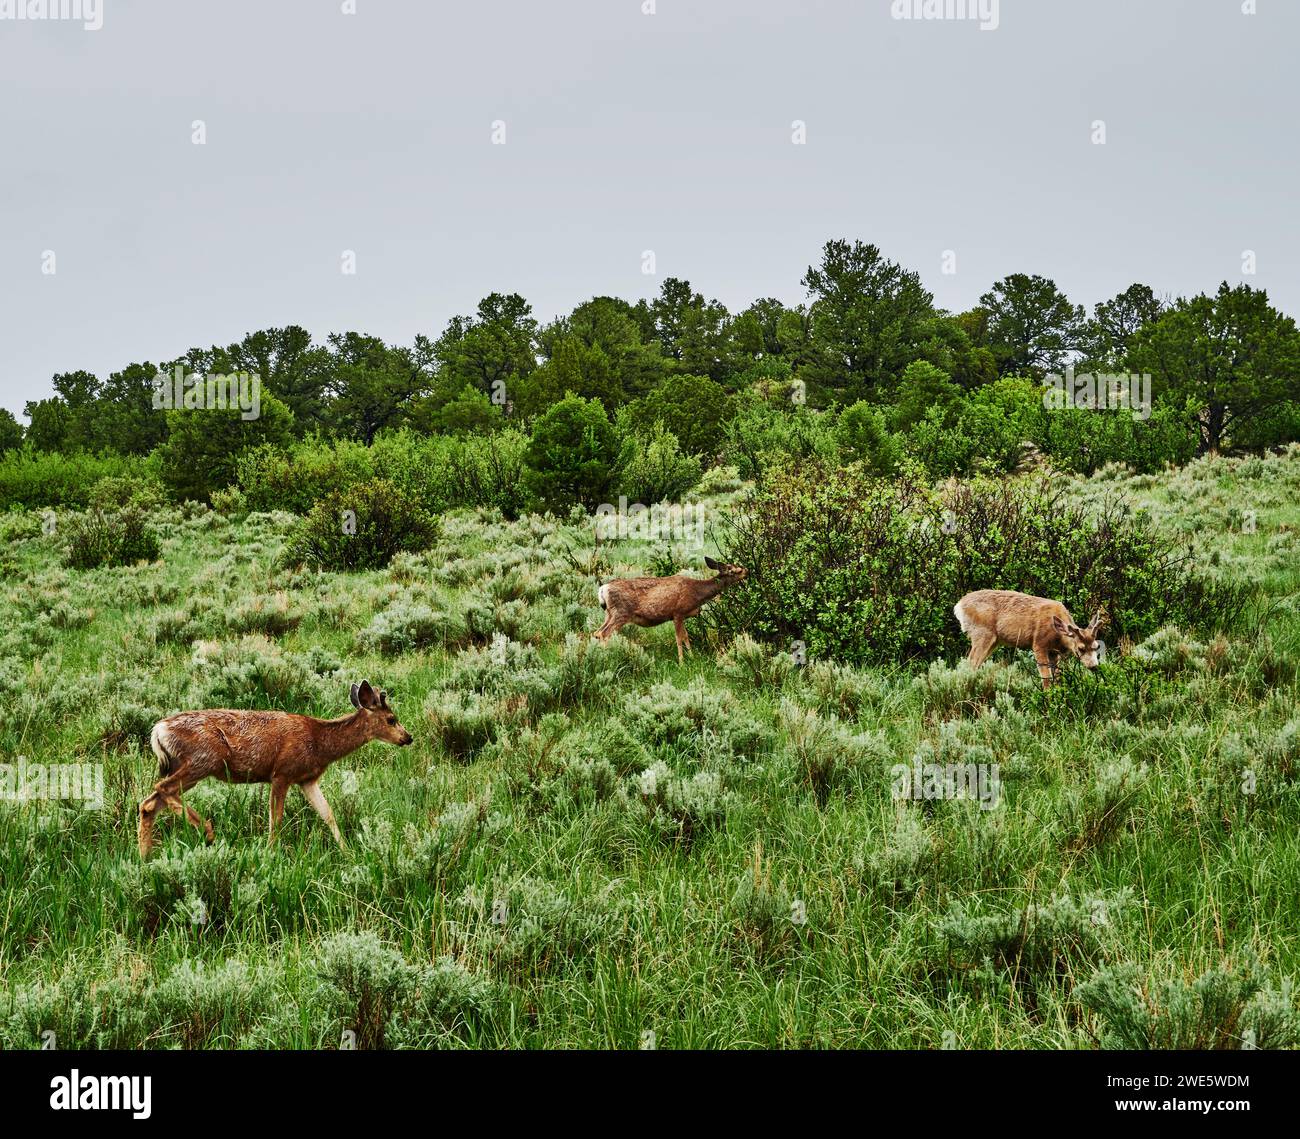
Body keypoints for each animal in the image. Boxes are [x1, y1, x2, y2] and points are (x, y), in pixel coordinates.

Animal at [137, 680, 412, 859]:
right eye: (392, 719)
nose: (408, 738)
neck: (320, 744)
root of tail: (158, 730)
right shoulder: (282, 773)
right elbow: (276, 820)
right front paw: (270, 854)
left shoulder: (307, 779)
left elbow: (328, 814)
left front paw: (347, 852)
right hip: (203, 760)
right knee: (162, 788)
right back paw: (207, 829)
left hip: (187, 766)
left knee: (149, 803)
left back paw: (145, 857)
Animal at [594, 556, 748, 663]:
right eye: (737, 569)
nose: (747, 570)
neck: (696, 592)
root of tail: (603, 589)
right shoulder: (678, 612)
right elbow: (679, 638)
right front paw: (682, 662)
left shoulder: (683, 615)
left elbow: (685, 636)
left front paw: (692, 657)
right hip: (621, 613)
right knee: (604, 633)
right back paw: (606, 658)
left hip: (609, 613)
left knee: (597, 632)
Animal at [954, 589, 1105, 690]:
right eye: (1080, 648)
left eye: (1097, 646)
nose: (1094, 666)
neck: (1058, 636)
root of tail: (958, 606)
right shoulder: (1039, 643)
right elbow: (1046, 677)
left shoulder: (1055, 652)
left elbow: (1057, 677)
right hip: (982, 633)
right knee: (971, 663)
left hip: (993, 641)